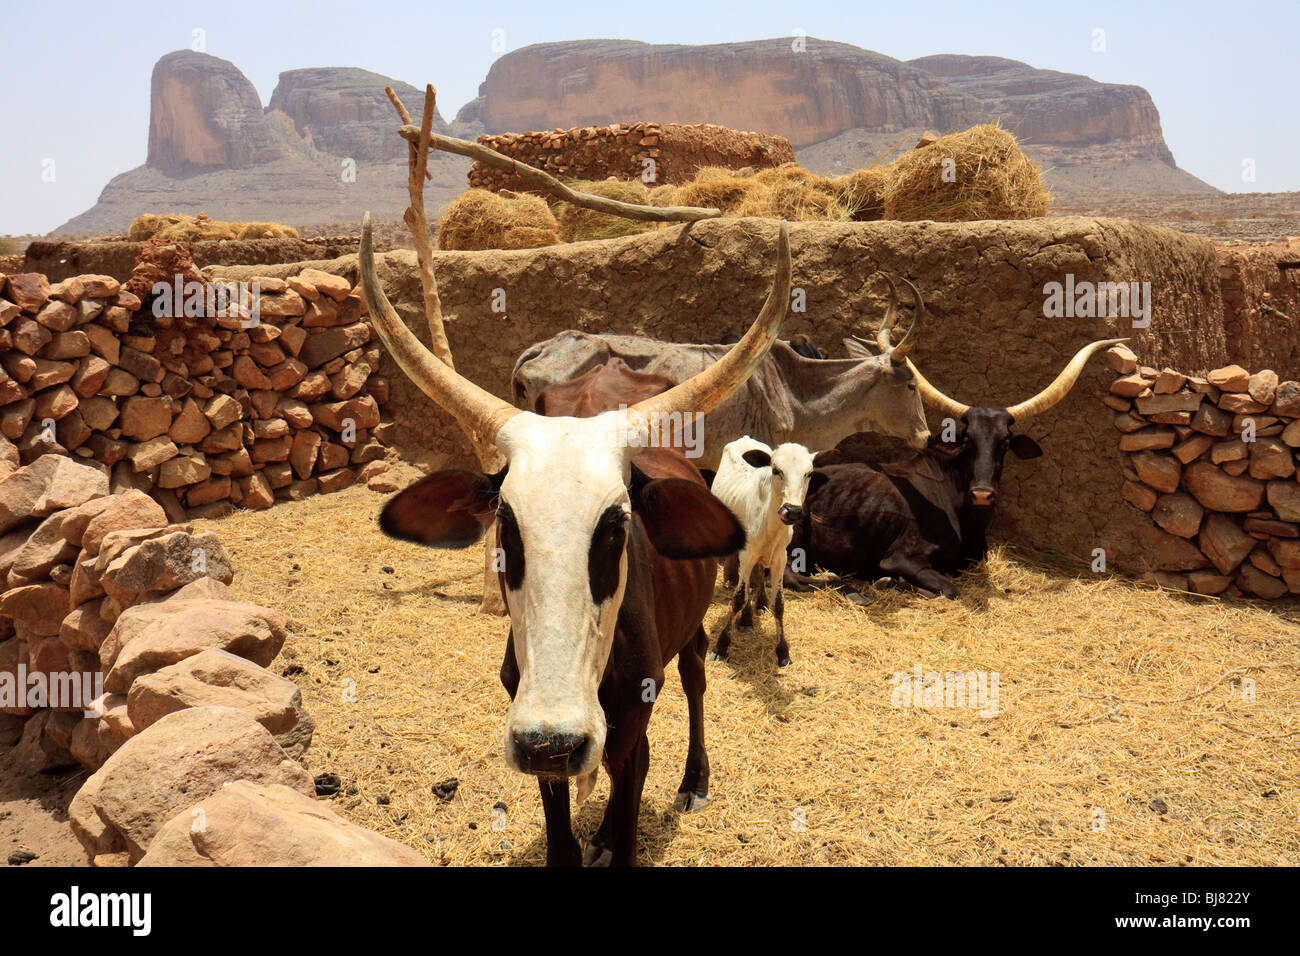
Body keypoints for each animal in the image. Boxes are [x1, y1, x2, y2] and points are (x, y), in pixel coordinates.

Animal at [359, 214, 792, 866]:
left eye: (617, 526)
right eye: (506, 525)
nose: (550, 738)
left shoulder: (631, 716)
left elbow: (633, 784)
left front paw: (621, 834)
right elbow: (565, 833)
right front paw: (593, 837)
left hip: (688, 635)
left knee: (695, 679)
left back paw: (693, 779)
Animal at [708, 437, 821, 667]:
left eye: (809, 473)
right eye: (776, 470)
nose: (792, 511)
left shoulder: (780, 557)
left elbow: (779, 603)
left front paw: (783, 652)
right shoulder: (747, 554)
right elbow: (739, 597)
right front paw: (721, 646)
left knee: (759, 575)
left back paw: (757, 605)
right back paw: (746, 617)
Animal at [786, 338, 1127, 598]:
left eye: (1005, 442)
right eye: (967, 440)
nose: (982, 494)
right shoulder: (902, 558)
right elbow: (949, 588)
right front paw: (892, 583)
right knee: (792, 577)